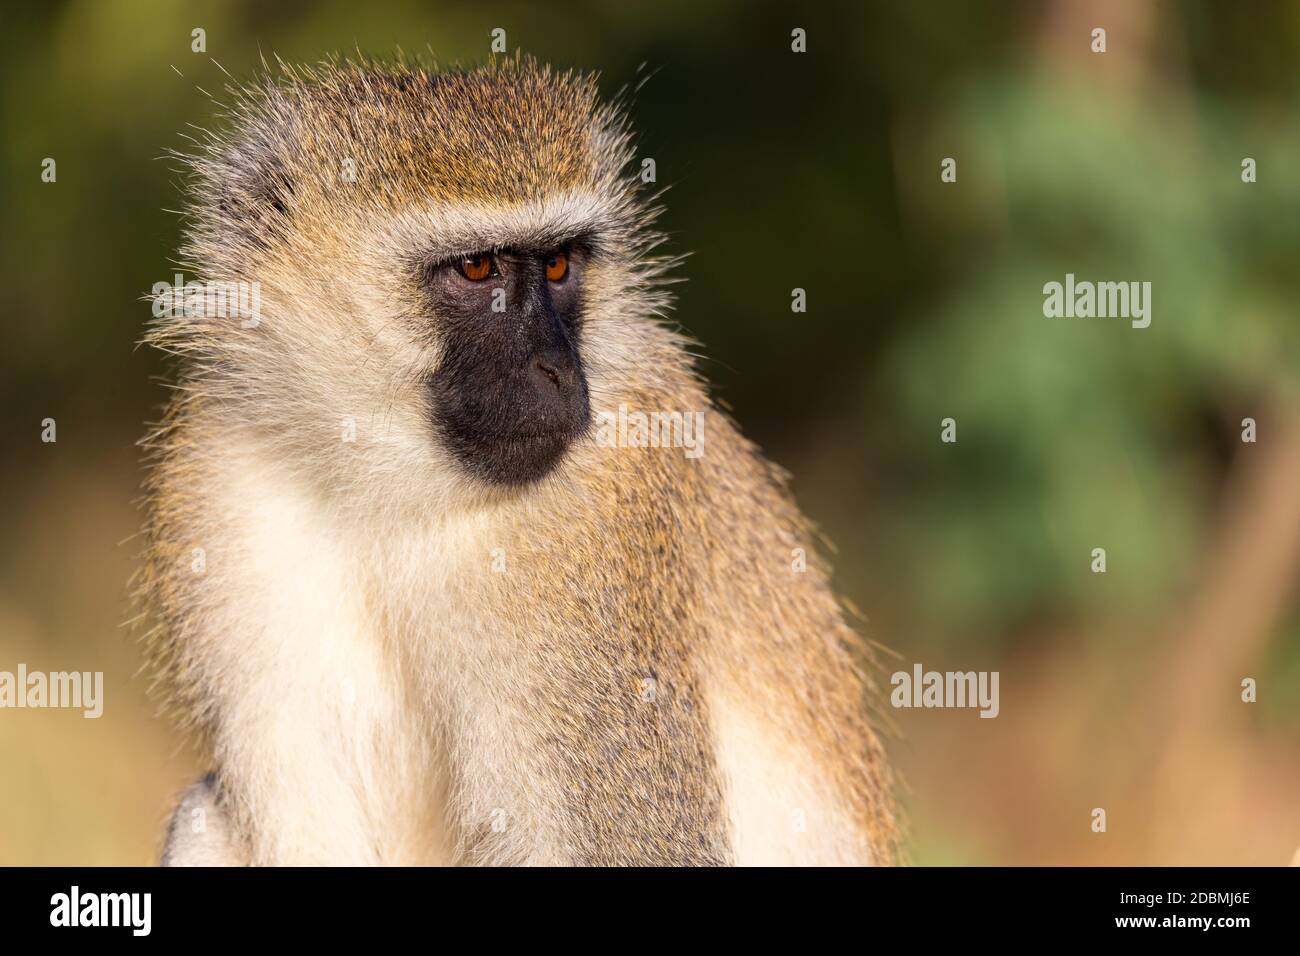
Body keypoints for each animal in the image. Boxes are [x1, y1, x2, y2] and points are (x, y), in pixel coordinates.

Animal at [137, 55, 898, 866]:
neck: (391, 485)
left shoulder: (589, 539)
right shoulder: (218, 474)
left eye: (559, 264)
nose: (559, 372)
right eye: (477, 269)